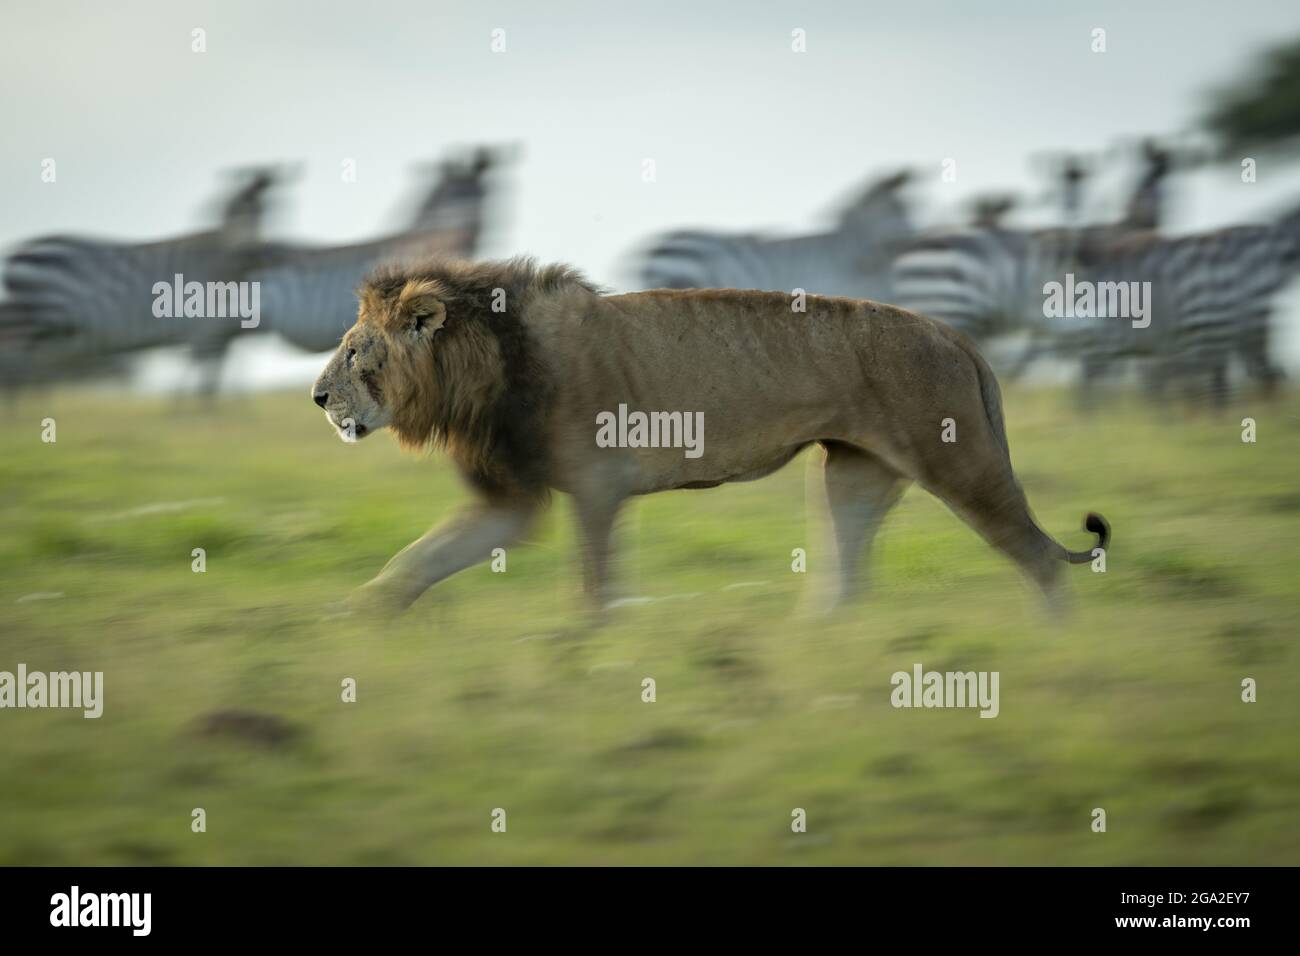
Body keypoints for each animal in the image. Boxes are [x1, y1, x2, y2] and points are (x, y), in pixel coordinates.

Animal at [312, 256, 1109, 615]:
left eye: (353, 351)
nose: (317, 397)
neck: (487, 363)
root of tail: (954, 335)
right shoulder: (512, 499)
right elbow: (417, 561)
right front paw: (360, 624)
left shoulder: (595, 486)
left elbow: (596, 588)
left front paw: (584, 656)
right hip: (853, 471)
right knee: (847, 578)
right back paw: (821, 644)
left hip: (957, 457)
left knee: (1040, 556)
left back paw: (1052, 642)